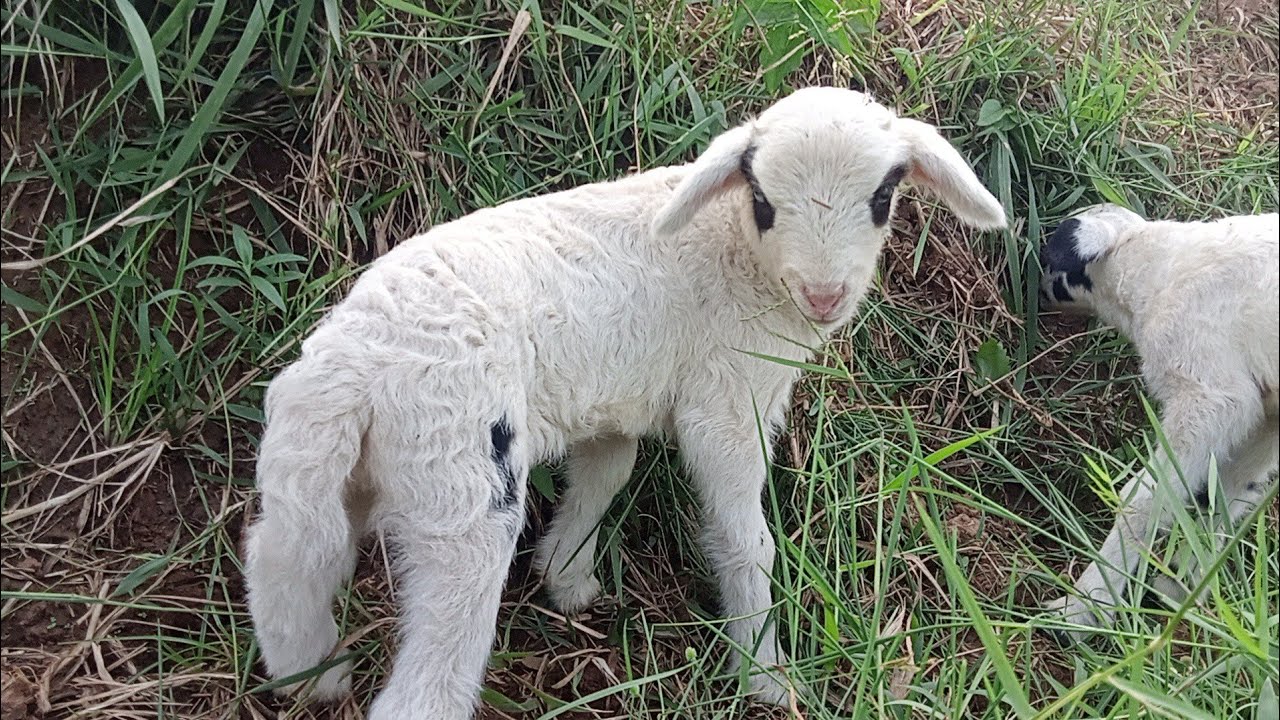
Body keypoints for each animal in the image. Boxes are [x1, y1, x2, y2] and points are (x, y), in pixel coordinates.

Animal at [241, 86, 1007, 720]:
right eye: (764, 201)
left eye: (882, 197)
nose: (825, 296)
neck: (736, 252)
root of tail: (355, 365)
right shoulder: (726, 401)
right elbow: (744, 540)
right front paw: (765, 675)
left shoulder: (611, 402)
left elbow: (606, 472)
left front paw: (566, 576)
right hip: (459, 479)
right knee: (427, 670)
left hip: (331, 465)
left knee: (284, 558)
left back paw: (311, 676)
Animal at [1039, 203, 1279, 640]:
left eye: (1053, 258)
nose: (1037, 292)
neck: (1159, 269)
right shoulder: (1268, 417)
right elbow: (1229, 493)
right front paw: (1182, 587)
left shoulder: (1212, 393)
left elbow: (1147, 498)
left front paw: (1082, 610)